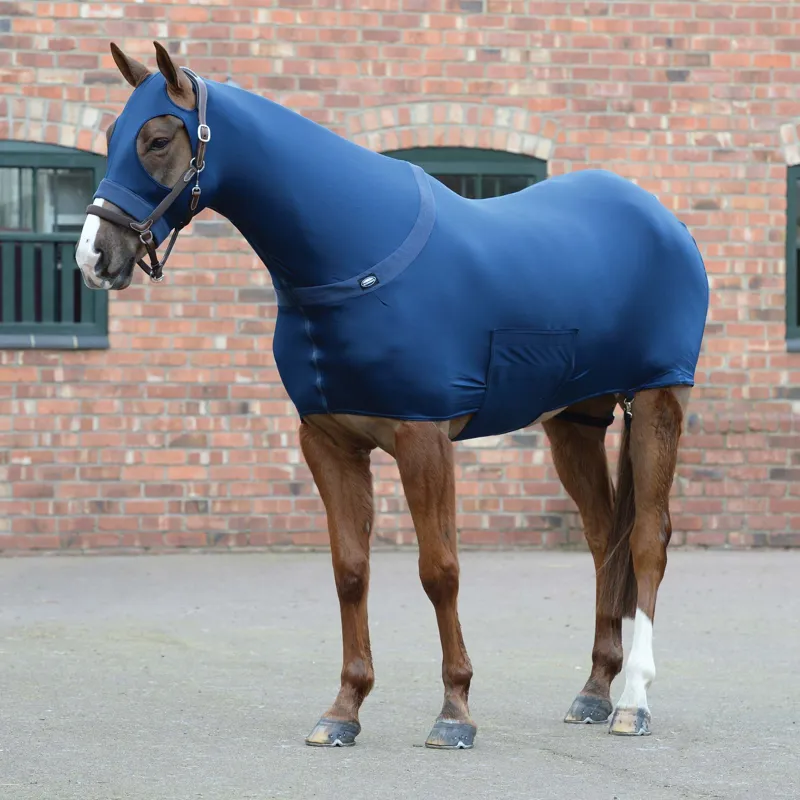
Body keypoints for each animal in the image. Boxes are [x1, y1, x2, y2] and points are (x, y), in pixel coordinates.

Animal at [75, 42, 709, 749]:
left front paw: (455, 711)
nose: (94, 257)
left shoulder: (423, 436)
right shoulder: (327, 442)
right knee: (605, 541)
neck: (357, 256)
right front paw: (343, 710)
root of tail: (664, 219)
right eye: (113, 133)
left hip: (659, 401)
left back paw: (633, 702)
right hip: (574, 422)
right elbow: (351, 571)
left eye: (158, 139)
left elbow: (440, 571)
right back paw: (594, 691)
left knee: (649, 539)